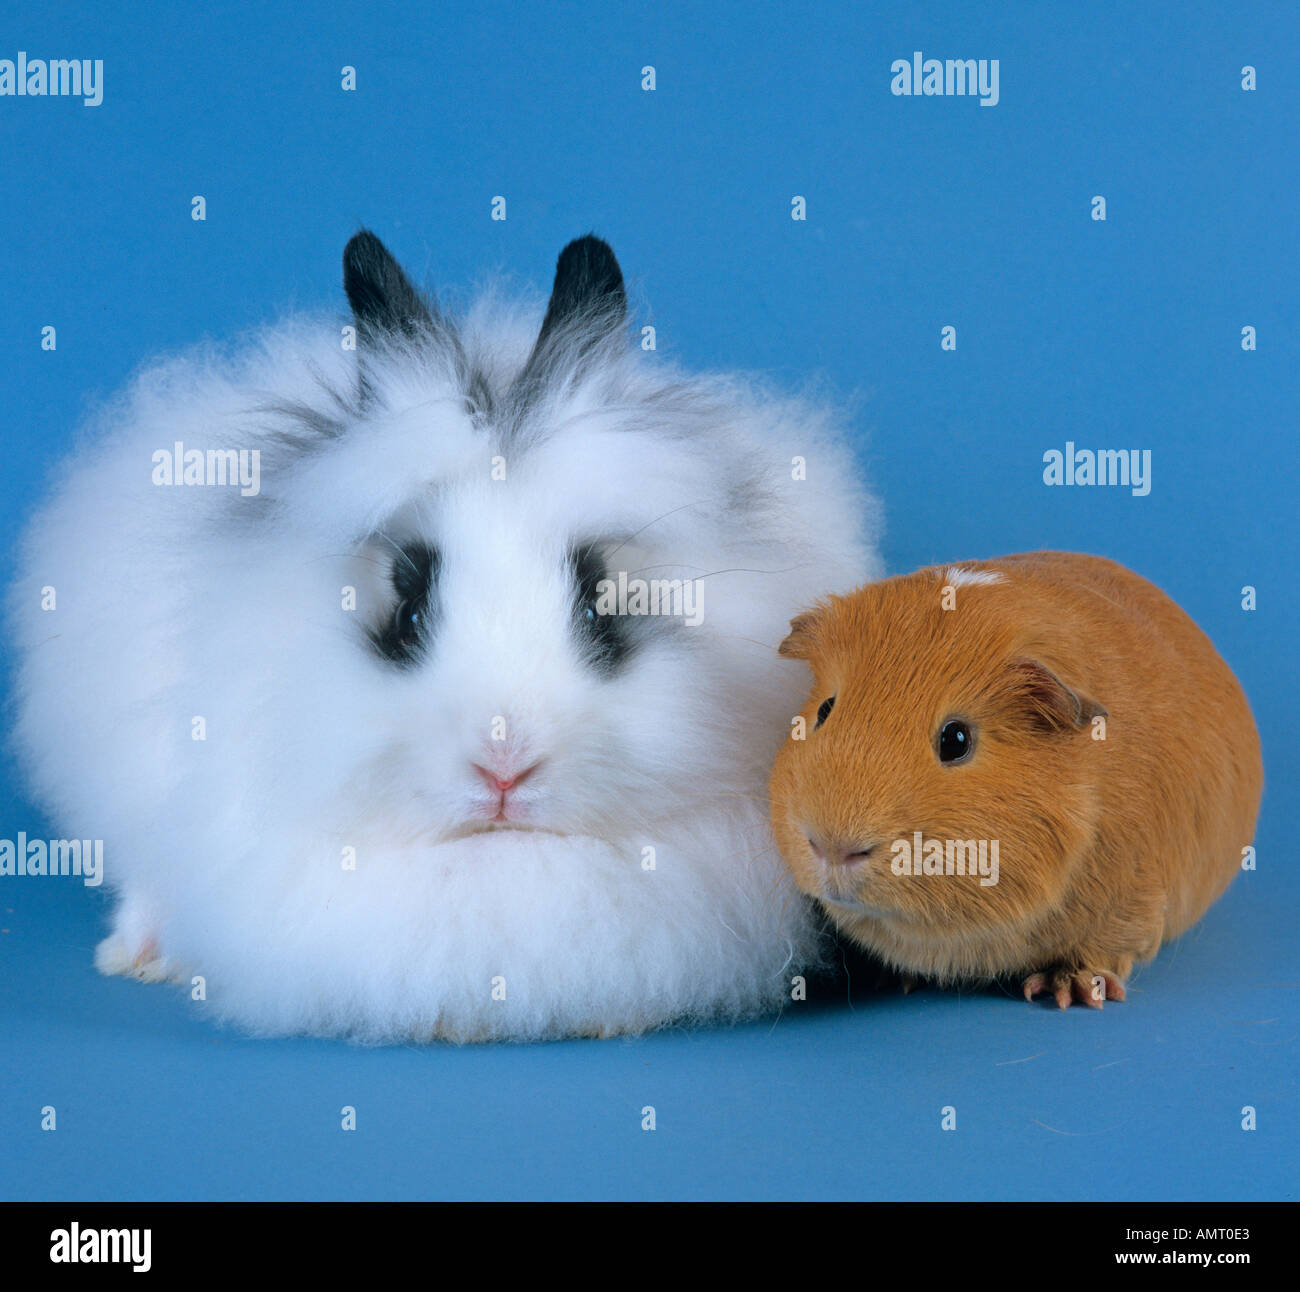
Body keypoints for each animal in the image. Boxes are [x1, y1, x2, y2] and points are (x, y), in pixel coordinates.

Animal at [770, 551, 1262, 1008]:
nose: (833, 848)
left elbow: (1102, 950)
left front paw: (1068, 990)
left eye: (956, 739)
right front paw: (889, 977)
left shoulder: (1132, 901)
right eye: (825, 709)